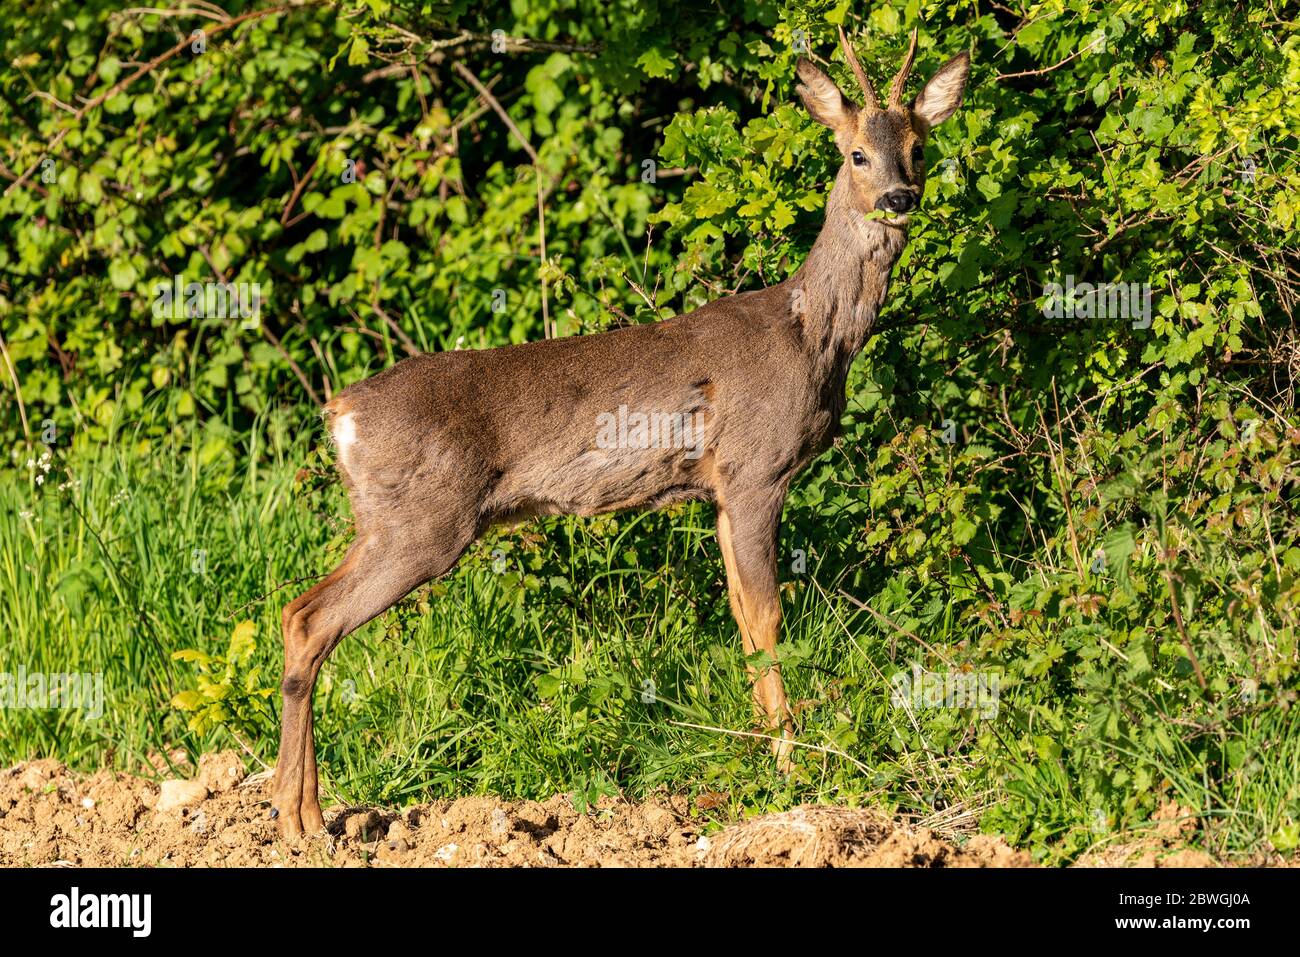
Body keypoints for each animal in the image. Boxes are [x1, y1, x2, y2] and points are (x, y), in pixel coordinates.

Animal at [271, 22, 971, 838]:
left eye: (919, 144)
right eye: (856, 151)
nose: (899, 196)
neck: (813, 334)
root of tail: (340, 412)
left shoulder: (716, 489)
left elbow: (742, 617)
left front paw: (764, 754)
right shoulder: (757, 468)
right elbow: (768, 618)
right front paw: (793, 770)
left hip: (385, 520)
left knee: (295, 610)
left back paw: (296, 809)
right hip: (424, 521)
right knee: (312, 620)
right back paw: (300, 819)